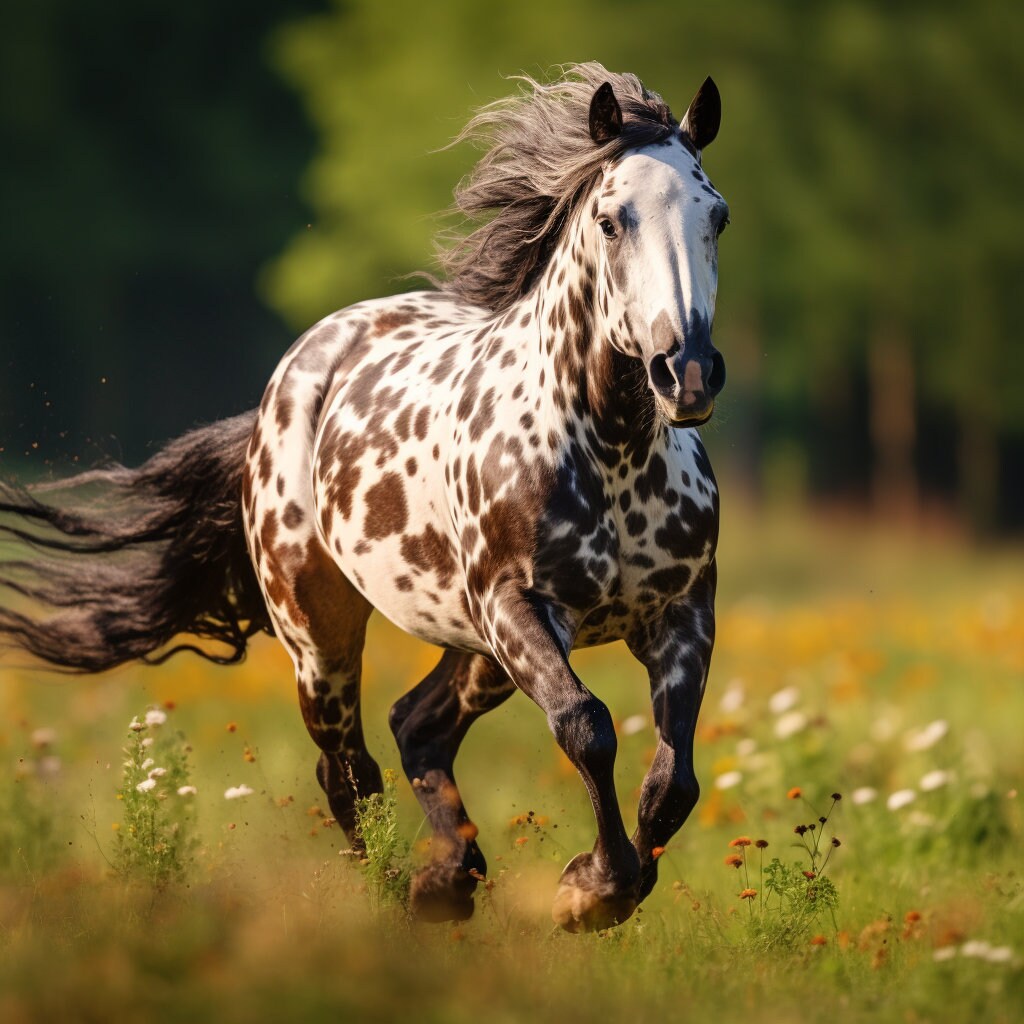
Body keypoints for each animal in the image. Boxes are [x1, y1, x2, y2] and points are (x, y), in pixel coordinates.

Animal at [0, 63, 728, 933]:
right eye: (612, 221)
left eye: (717, 216)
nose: (686, 372)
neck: (610, 454)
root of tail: (296, 373)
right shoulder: (518, 608)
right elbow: (585, 726)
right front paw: (592, 891)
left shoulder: (682, 615)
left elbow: (672, 782)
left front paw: (603, 883)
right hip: (324, 638)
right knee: (347, 769)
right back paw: (404, 892)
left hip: (475, 649)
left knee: (416, 726)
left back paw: (448, 878)